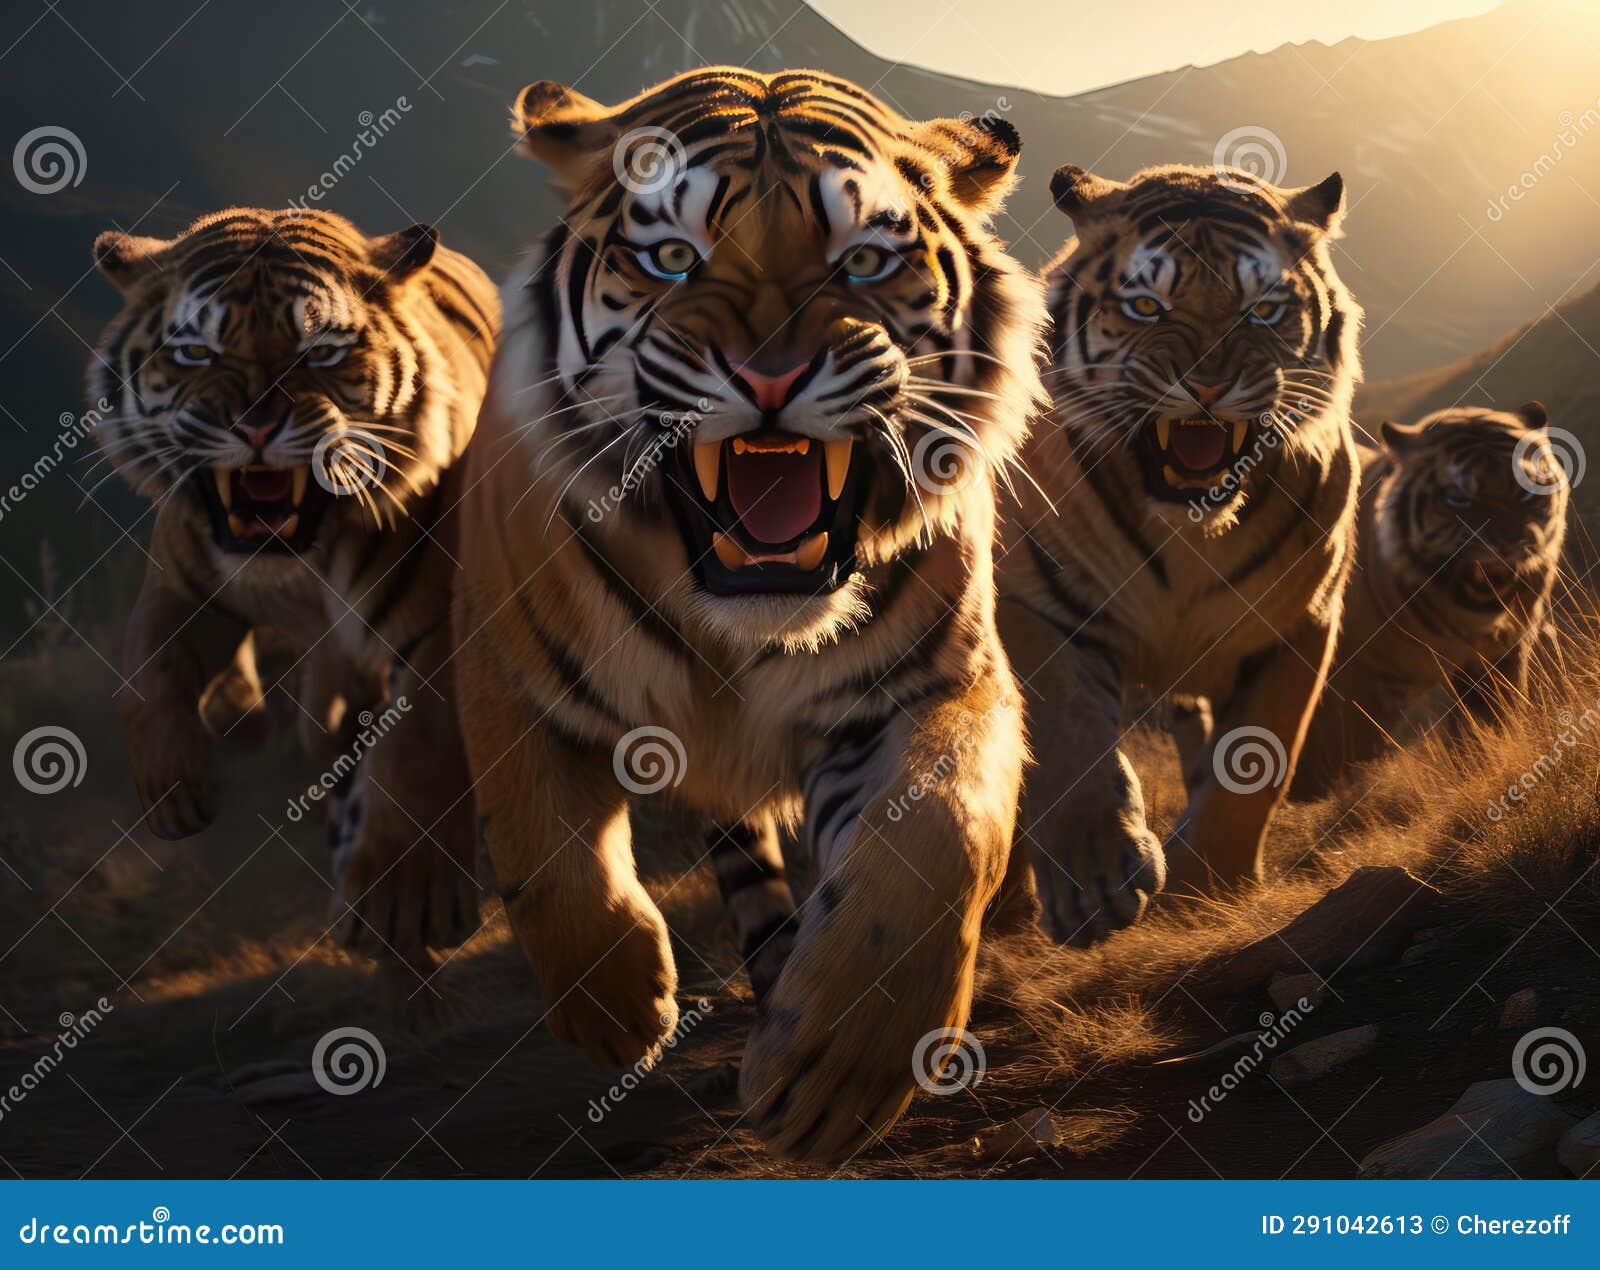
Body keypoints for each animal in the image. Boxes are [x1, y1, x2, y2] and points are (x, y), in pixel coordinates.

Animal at [89, 207, 499, 959]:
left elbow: (418, 746)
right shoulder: (184, 588)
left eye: (321, 353)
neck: (297, 567)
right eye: (196, 352)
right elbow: (146, 672)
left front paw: (409, 903)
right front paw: (174, 792)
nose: (254, 425)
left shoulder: (440, 622)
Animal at [454, 68, 1046, 1161]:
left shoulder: (938, 681)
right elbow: (540, 847)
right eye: (671, 257)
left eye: (864, 260)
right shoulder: (505, 667)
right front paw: (614, 1008)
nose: (771, 377)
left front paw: (834, 1078)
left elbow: (937, 838)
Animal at [995, 162, 1362, 945]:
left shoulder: (1296, 626)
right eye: (1145, 304)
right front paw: (1096, 883)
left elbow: (1257, 765)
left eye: (1262, 310)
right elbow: (1069, 732)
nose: (1208, 384)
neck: (1191, 528)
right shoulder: (1035, 603)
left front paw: (1209, 890)